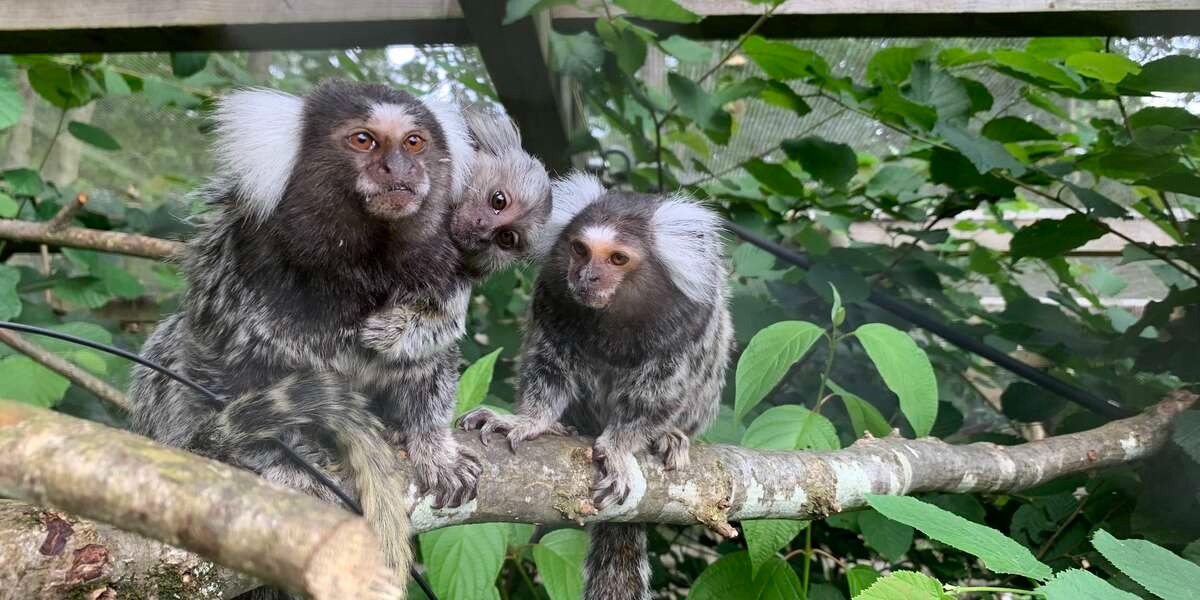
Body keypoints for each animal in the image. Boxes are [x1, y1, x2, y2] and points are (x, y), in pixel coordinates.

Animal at [128, 80, 484, 598]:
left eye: (414, 142)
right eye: (363, 140)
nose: (401, 169)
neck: (361, 263)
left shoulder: (441, 277)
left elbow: (430, 360)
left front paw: (433, 445)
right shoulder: (240, 268)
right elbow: (214, 370)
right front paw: (285, 461)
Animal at [457, 172, 734, 600]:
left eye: (617, 258)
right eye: (580, 250)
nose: (587, 277)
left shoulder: (690, 319)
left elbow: (658, 394)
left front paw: (621, 446)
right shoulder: (552, 300)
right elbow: (549, 368)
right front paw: (531, 421)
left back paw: (670, 436)